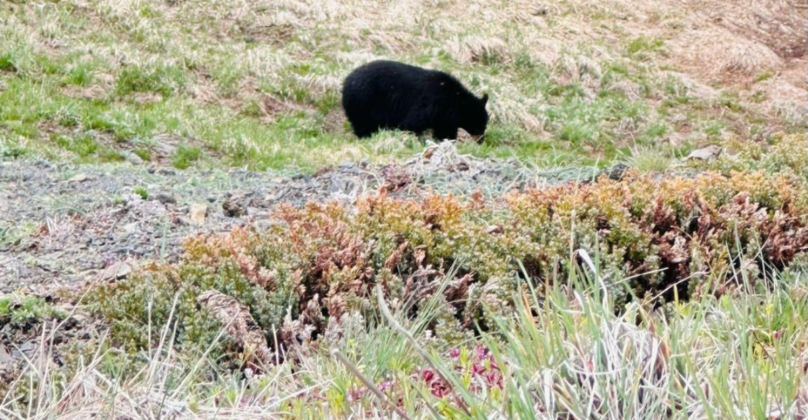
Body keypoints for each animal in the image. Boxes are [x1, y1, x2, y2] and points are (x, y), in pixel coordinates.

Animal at [341, 60, 489, 142]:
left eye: (484, 124)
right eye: (479, 125)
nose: (481, 140)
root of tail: (346, 81)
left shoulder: (443, 117)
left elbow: (444, 130)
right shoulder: (430, 105)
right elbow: (411, 123)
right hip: (365, 103)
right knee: (364, 125)